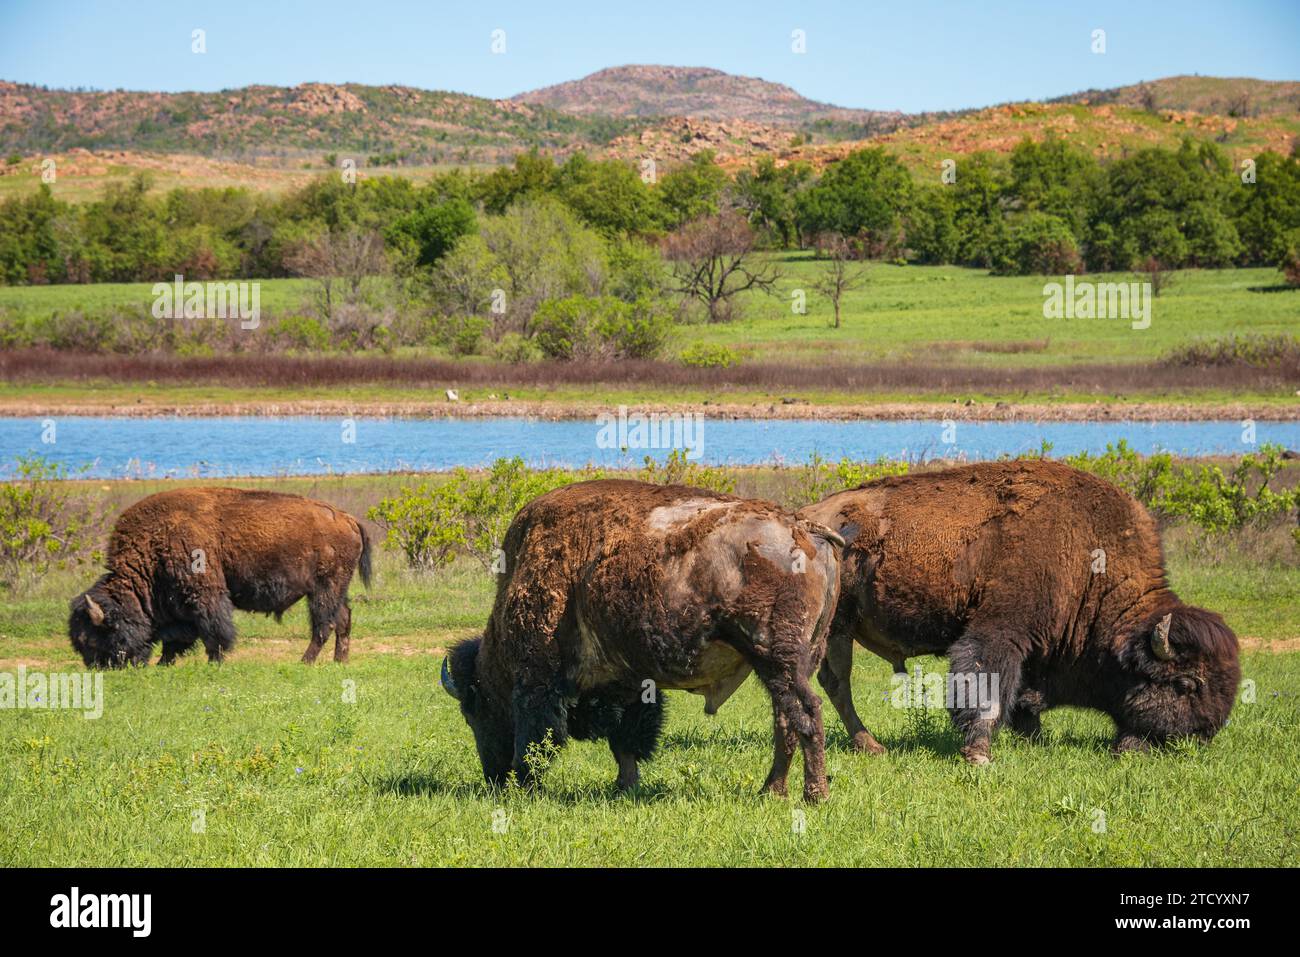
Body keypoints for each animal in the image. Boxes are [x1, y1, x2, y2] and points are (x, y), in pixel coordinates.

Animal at [69, 488, 372, 667]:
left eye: (94, 638)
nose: (101, 669)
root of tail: (347, 518)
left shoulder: (204, 595)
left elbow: (213, 630)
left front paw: (215, 661)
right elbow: (177, 638)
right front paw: (165, 663)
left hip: (324, 589)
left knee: (324, 624)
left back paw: (305, 661)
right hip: (335, 590)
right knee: (342, 619)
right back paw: (339, 662)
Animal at [441, 479, 844, 801]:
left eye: (472, 711)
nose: (494, 776)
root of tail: (802, 528)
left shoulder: (538, 681)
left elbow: (537, 735)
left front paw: (527, 785)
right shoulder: (628, 682)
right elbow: (625, 740)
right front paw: (626, 785)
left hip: (776, 657)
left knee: (806, 713)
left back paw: (814, 795)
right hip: (792, 662)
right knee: (785, 721)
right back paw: (771, 790)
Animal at [797, 460, 1240, 763]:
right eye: (1186, 684)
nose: (1199, 738)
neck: (1089, 561)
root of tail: (806, 517)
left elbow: (1024, 694)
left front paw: (1034, 738)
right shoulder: (999, 633)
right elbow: (987, 686)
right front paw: (978, 753)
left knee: (833, 681)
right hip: (835, 627)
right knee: (838, 683)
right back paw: (871, 744)